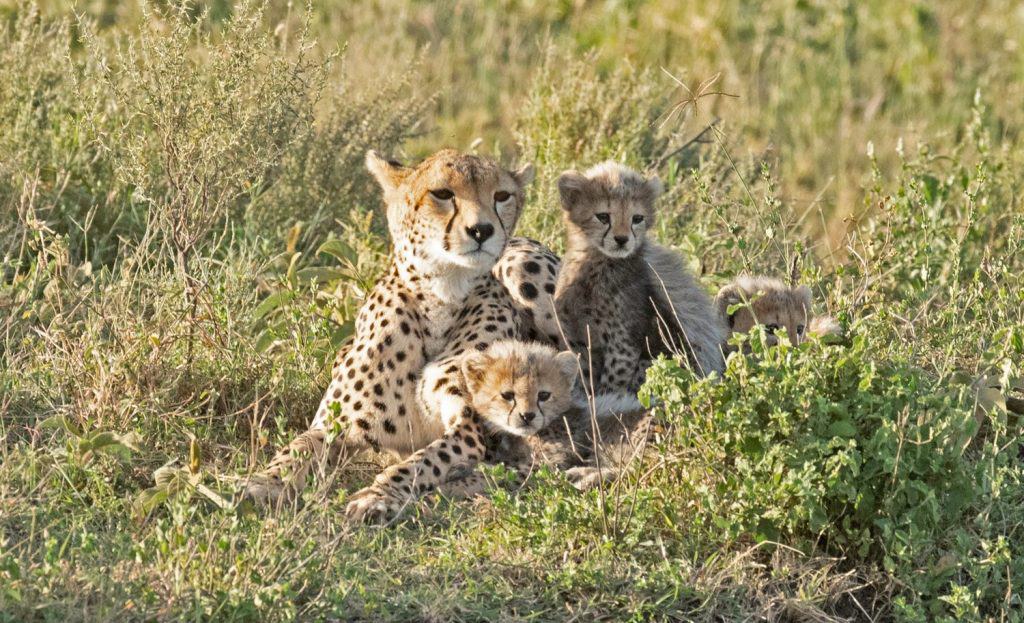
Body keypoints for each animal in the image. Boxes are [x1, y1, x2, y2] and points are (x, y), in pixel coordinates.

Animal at [242, 148, 560, 523]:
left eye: (501, 195)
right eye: (442, 193)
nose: (482, 229)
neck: (442, 293)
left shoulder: (470, 429)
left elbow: (424, 461)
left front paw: (379, 495)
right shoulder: (338, 425)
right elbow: (297, 448)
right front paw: (265, 483)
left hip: (521, 264)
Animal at [551, 161, 726, 395]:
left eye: (637, 219)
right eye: (603, 217)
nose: (622, 239)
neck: (596, 262)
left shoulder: (623, 346)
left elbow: (612, 385)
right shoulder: (578, 340)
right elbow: (587, 379)